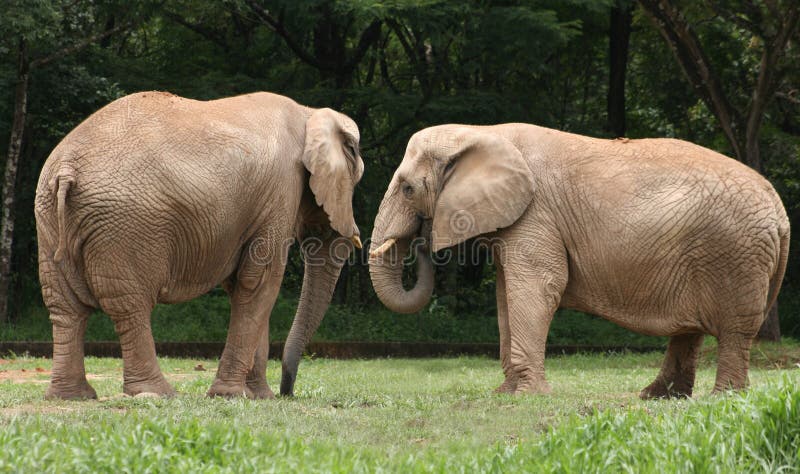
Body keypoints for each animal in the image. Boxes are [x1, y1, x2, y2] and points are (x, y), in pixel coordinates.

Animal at [35, 91, 363, 399]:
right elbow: (259, 282)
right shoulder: (281, 190)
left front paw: (259, 397)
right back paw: (157, 393)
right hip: (123, 227)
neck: (310, 114)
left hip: (48, 217)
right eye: (354, 181)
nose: (288, 392)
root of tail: (66, 169)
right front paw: (231, 395)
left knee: (65, 307)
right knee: (130, 305)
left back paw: (71, 395)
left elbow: (246, 285)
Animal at [368, 123, 790, 398]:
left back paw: (724, 397)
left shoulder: (535, 215)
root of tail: (779, 210)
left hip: (734, 254)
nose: (423, 238)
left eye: (407, 189)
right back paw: (656, 397)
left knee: (733, 330)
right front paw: (505, 392)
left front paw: (528, 396)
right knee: (691, 330)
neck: (479, 132)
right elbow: (505, 294)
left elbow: (539, 286)